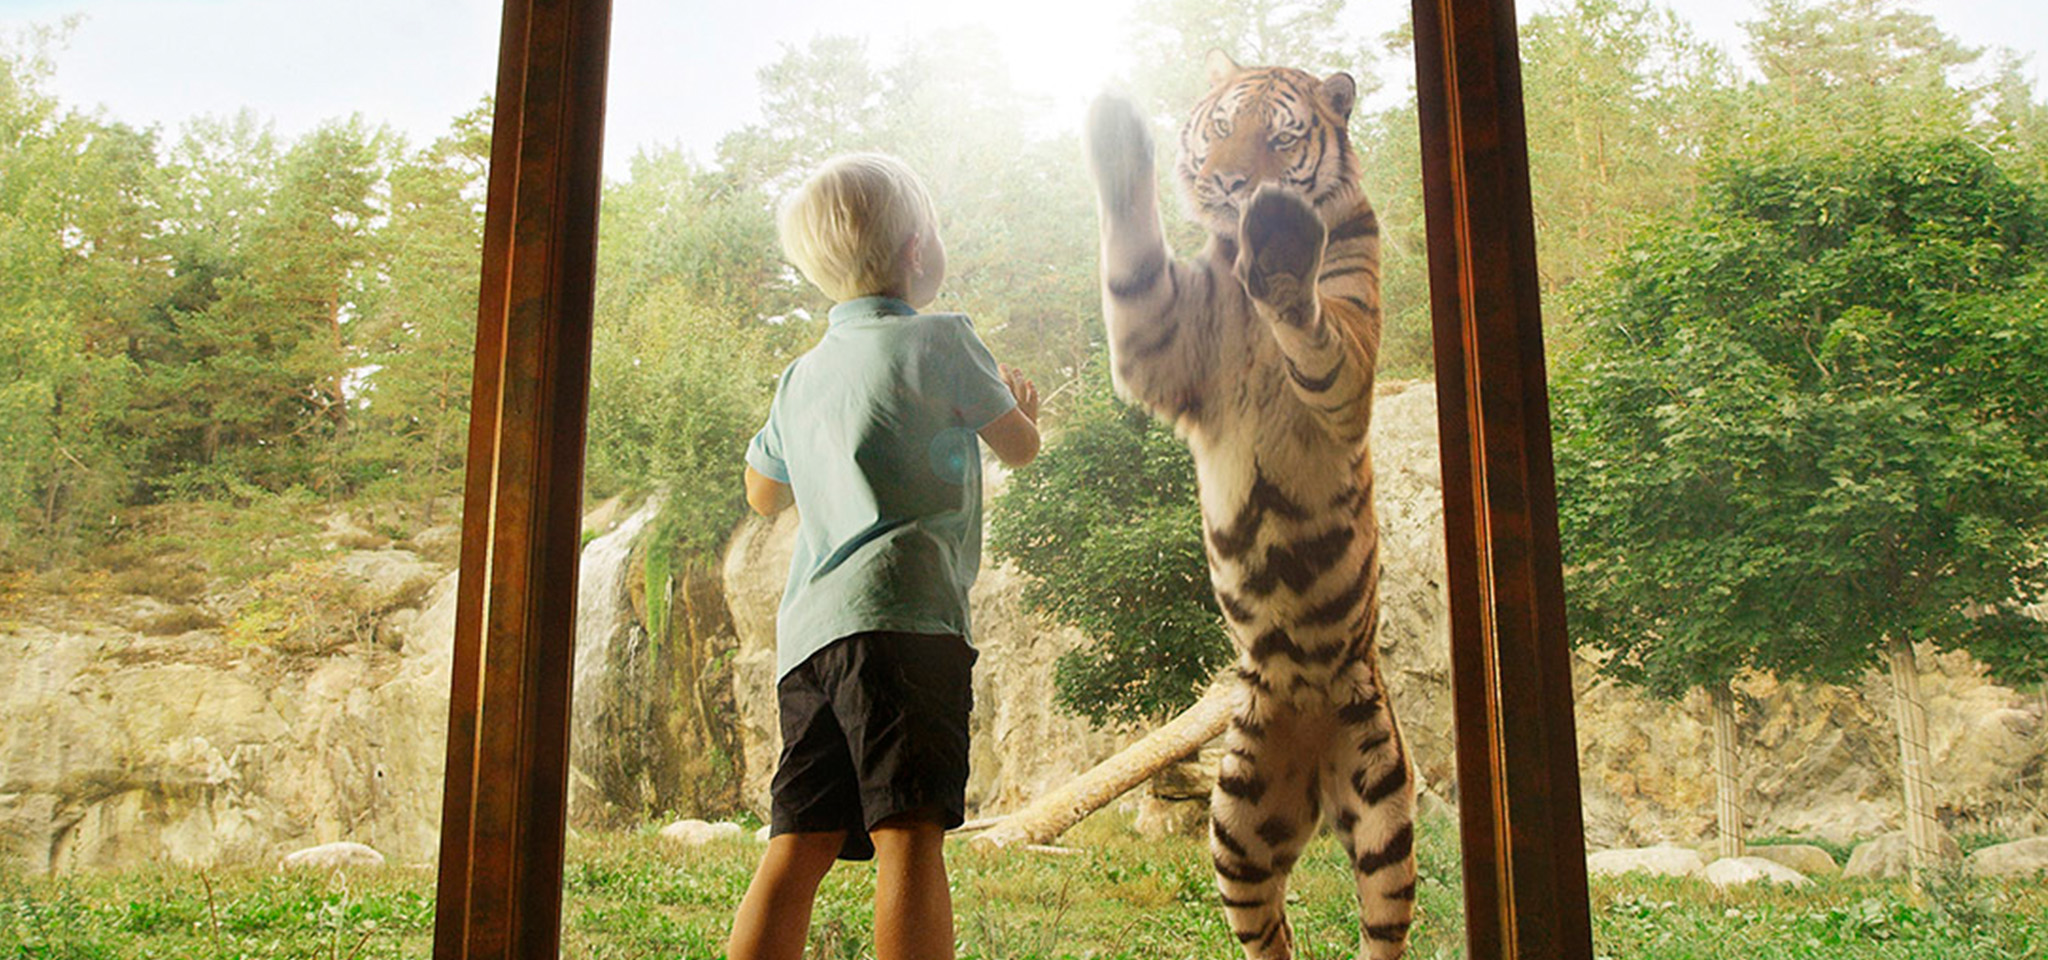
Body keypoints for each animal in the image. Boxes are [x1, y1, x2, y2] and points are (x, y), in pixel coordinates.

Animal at [1082, 51, 1414, 960]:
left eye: (1281, 137)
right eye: (1222, 127)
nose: (1234, 182)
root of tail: (1314, 778)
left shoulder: (1348, 374)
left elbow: (1310, 324)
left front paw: (1285, 238)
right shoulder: (1161, 345)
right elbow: (1132, 261)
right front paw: (1116, 134)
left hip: (1386, 806)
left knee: (1383, 928)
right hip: (1237, 821)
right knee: (1270, 933)